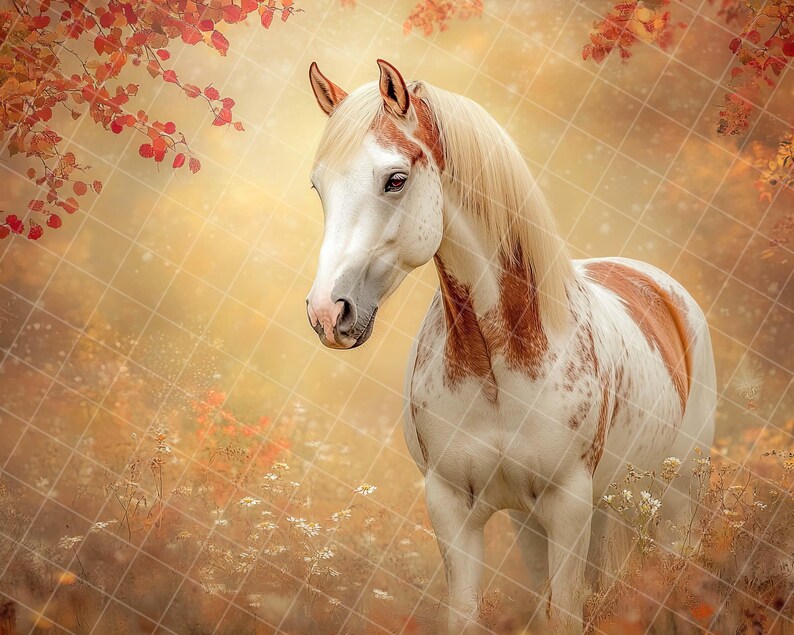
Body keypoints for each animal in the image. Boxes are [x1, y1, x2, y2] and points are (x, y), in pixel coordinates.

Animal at [304, 59, 716, 634]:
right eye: (319, 187)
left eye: (395, 180)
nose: (328, 313)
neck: (497, 361)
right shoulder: (453, 508)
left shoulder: (568, 504)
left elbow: (564, 614)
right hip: (570, 515)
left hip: (676, 504)